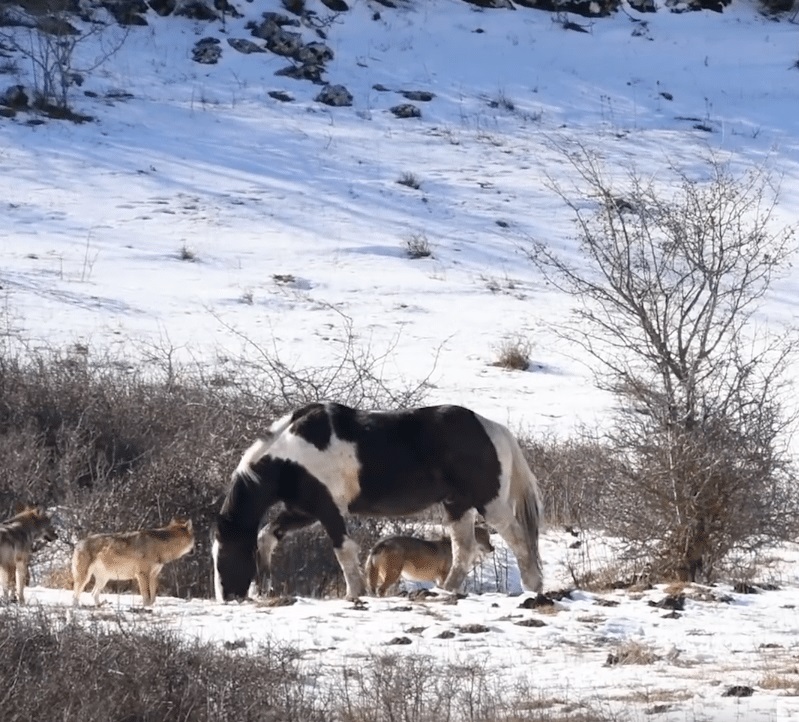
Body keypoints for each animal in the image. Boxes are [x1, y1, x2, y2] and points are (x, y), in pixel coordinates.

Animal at [365, 524, 495, 597]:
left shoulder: (439, 579)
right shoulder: (444, 575)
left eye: (488, 538)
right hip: (393, 575)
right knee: (381, 590)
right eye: (484, 539)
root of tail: (380, 543)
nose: (493, 548)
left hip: (382, 576)